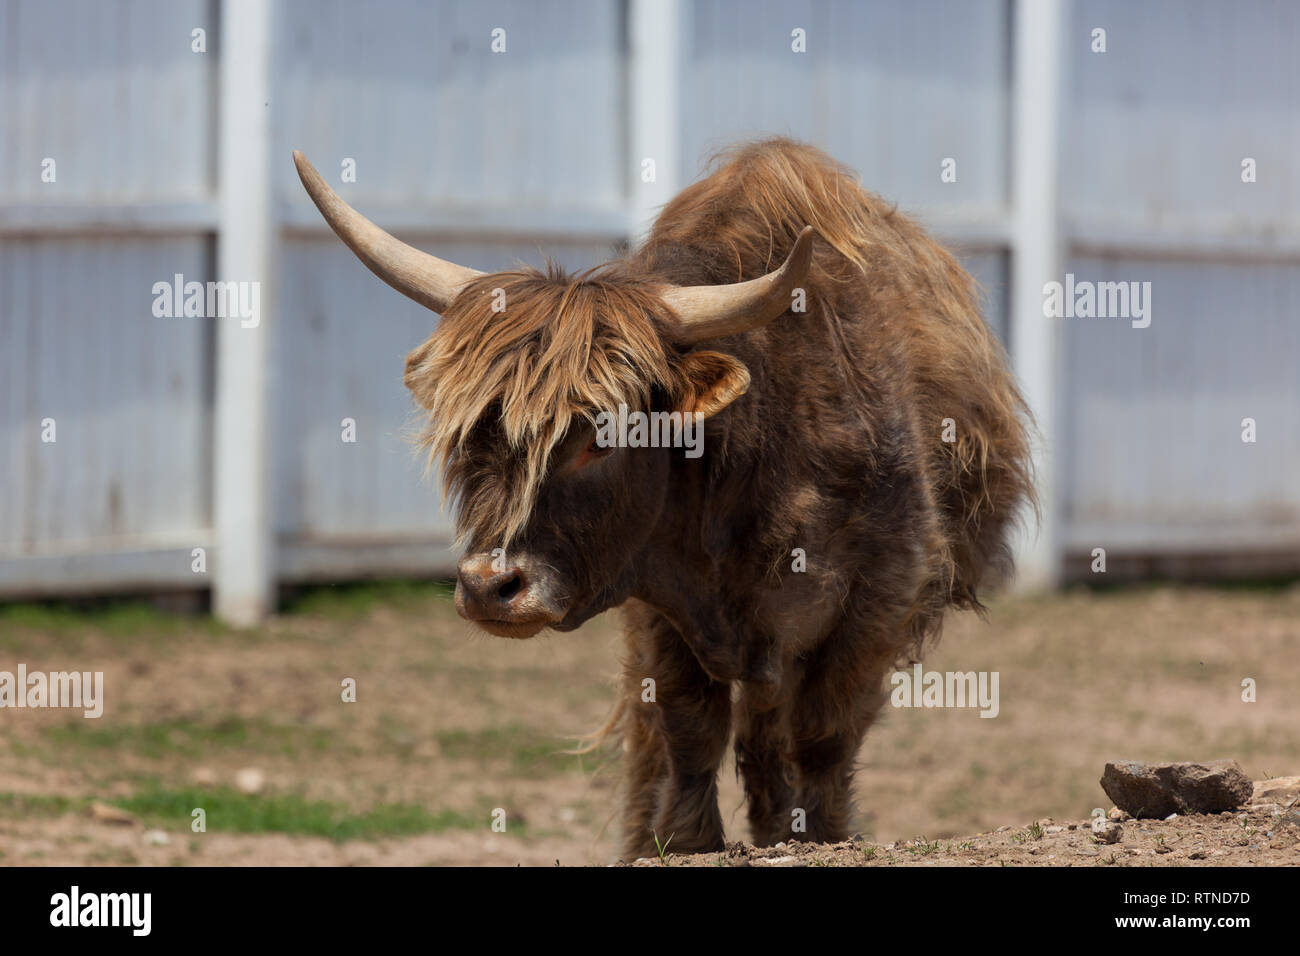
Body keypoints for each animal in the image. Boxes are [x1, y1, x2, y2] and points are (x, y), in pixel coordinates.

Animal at [293, 139, 1035, 858]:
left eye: (601, 437)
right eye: (471, 431)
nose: (489, 587)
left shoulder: (880, 597)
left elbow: (824, 735)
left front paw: (819, 834)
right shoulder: (656, 603)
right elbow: (688, 727)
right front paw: (684, 841)